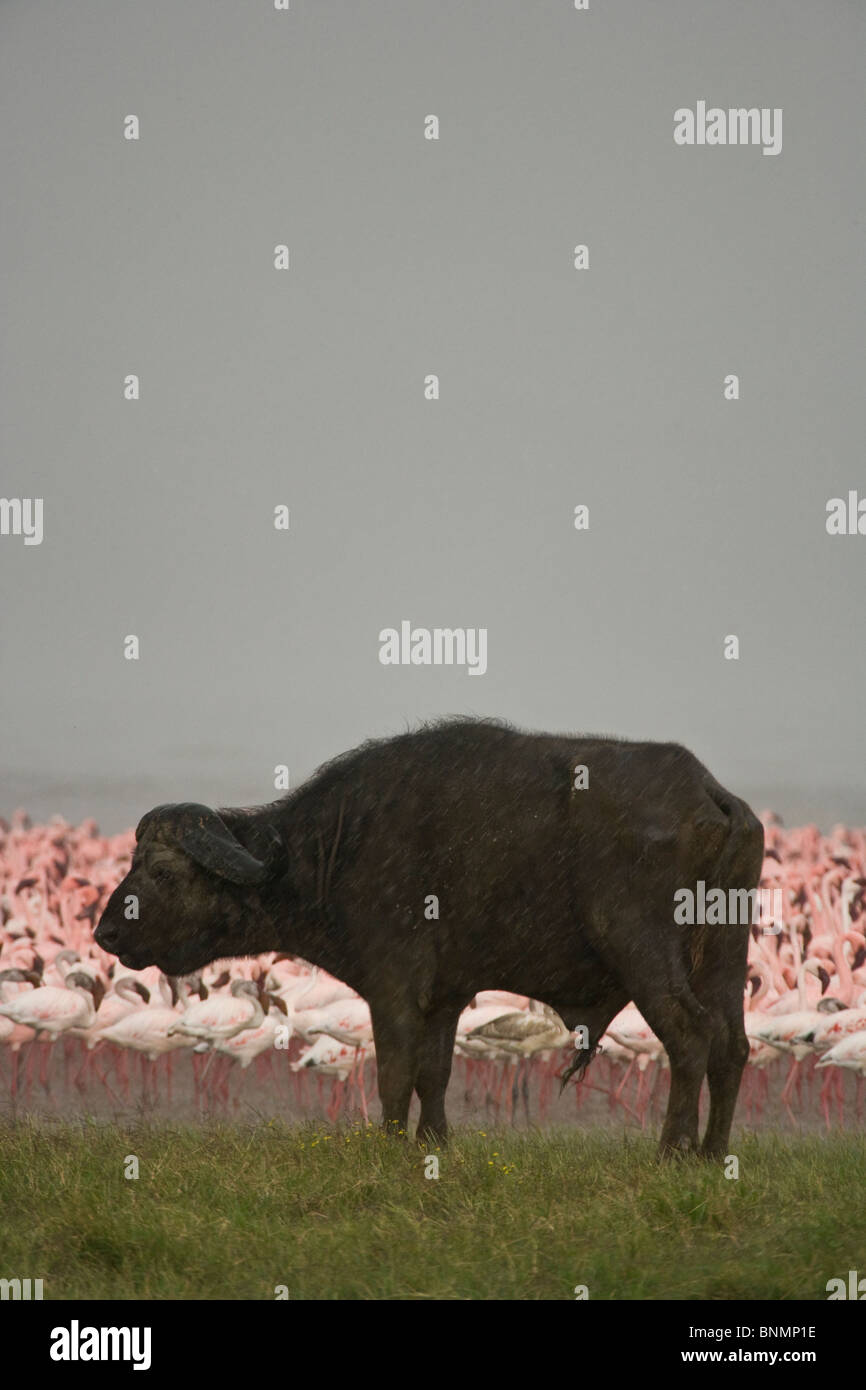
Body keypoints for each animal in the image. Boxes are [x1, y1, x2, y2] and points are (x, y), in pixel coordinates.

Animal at [95, 718, 763, 1156]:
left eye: (161, 871)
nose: (104, 931)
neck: (335, 846)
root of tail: (711, 794)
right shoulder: (443, 997)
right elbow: (433, 1074)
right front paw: (432, 1143)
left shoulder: (392, 990)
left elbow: (394, 1073)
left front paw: (391, 1145)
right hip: (726, 954)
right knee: (732, 1046)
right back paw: (712, 1154)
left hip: (641, 950)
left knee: (691, 1035)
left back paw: (673, 1151)